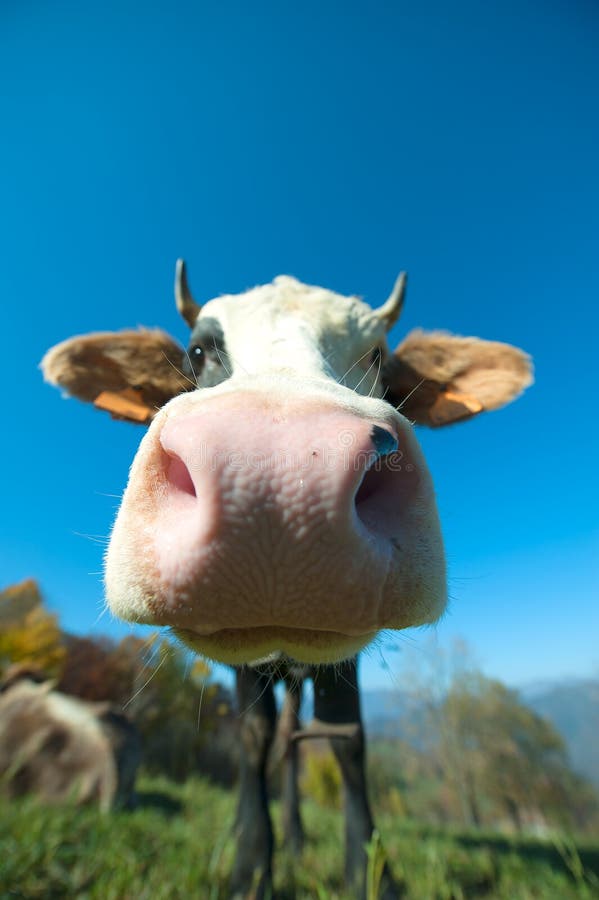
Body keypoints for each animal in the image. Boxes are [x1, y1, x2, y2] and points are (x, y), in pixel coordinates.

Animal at [42, 262, 532, 897]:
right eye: (198, 350)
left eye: (378, 354)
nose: (278, 477)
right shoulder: (242, 667)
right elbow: (253, 738)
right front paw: (251, 865)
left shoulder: (343, 663)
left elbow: (347, 738)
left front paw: (368, 870)